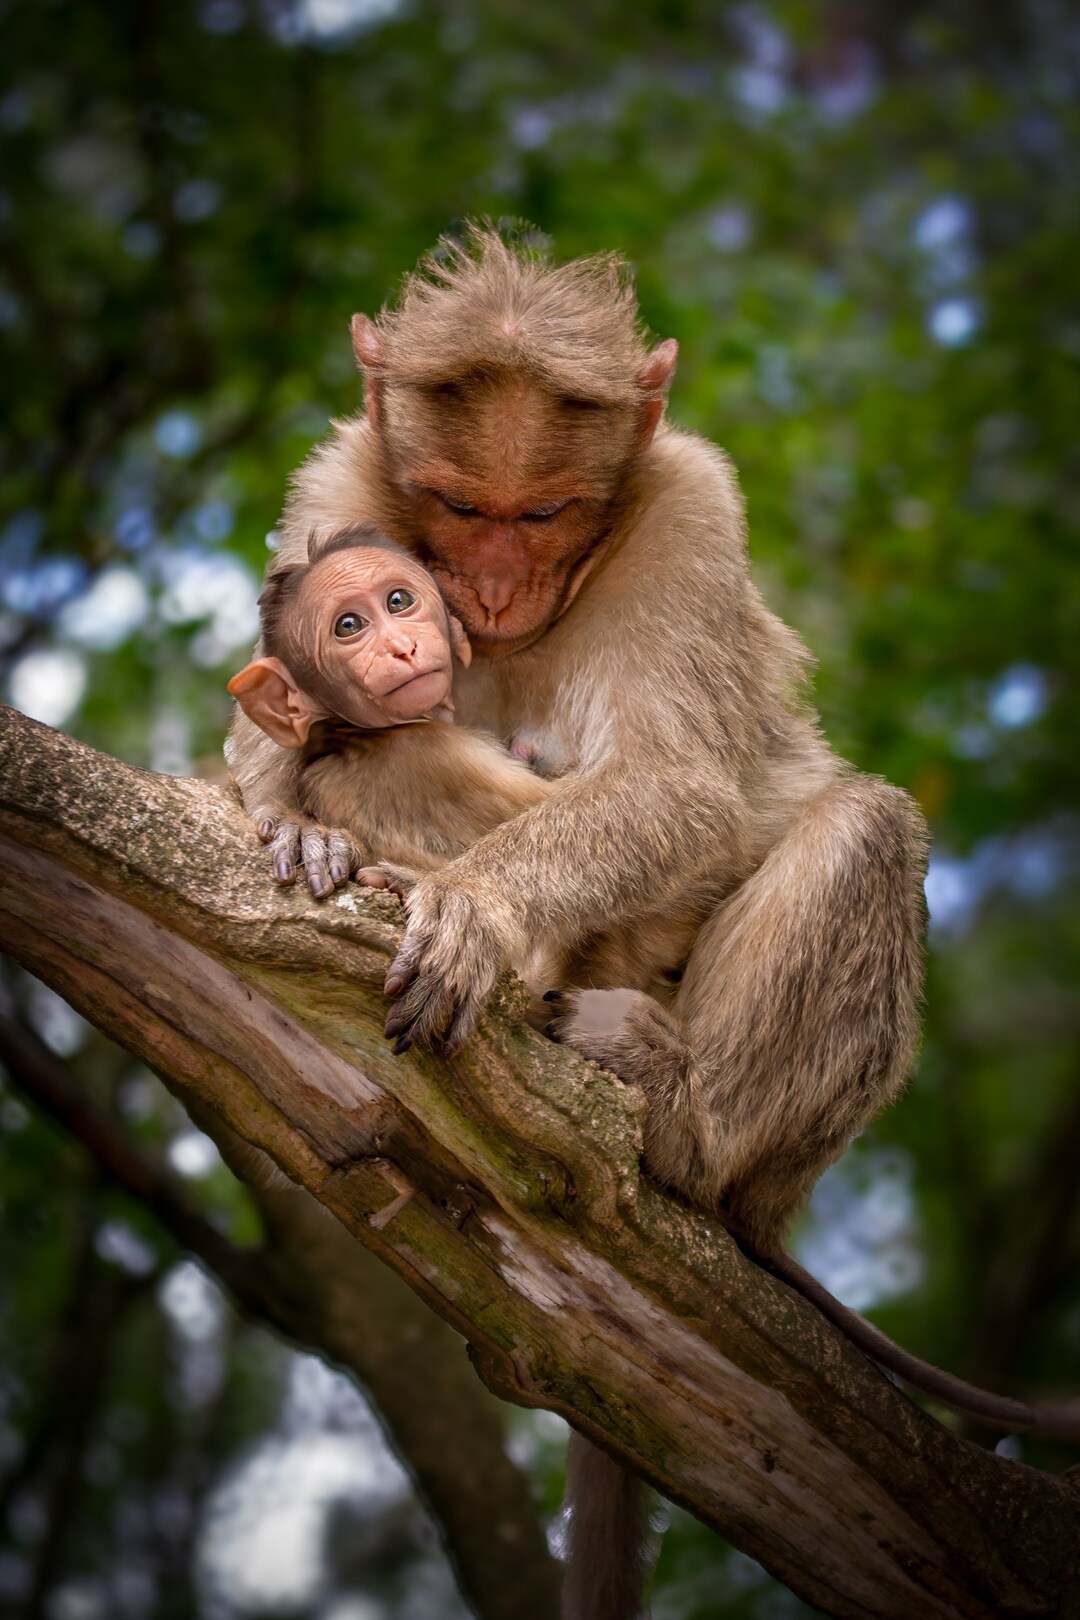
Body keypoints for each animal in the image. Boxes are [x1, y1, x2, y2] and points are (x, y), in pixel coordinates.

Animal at [226, 229, 1078, 1619]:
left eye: (544, 515)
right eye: (458, 508)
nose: (479, 592)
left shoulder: (690, 506)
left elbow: (682, 786)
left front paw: (481, 907)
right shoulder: (336, 480)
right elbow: (276, 739)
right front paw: (295, 832)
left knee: (862, 826)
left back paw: (677, 1112)